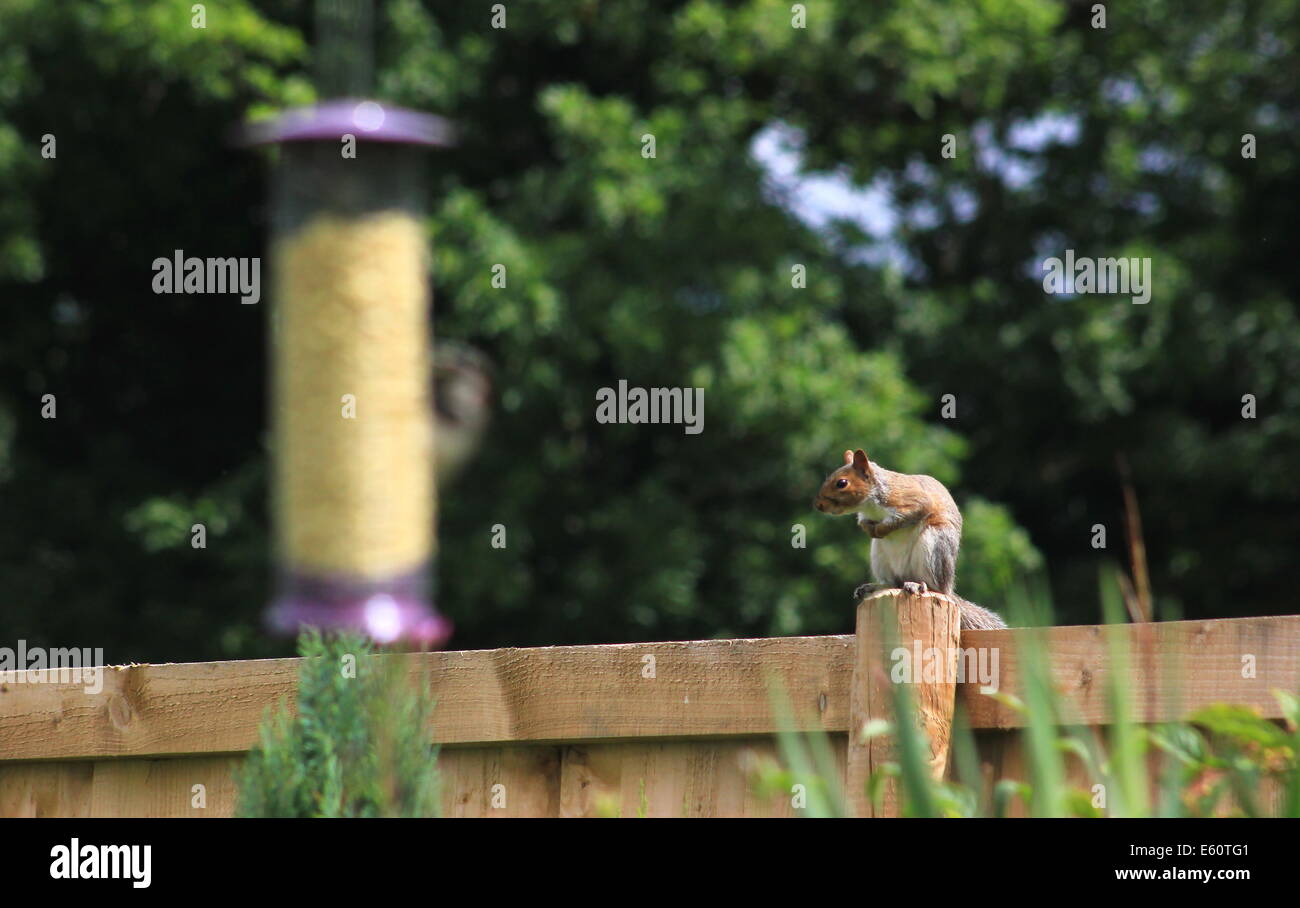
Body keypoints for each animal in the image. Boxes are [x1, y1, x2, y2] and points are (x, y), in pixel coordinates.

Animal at [813, 449, 1006, 631]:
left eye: (842, 483)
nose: (819, 505)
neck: (870, 505)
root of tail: (949, 588)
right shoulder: (865, 515)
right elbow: (862, 522)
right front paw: (869, 529)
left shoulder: (911, 499)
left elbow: (911, 513)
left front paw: (882, 529)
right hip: (879, 556)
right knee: (892, 582)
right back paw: (874, 587)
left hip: (934, 546)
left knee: (934, 586)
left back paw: (919, 585)